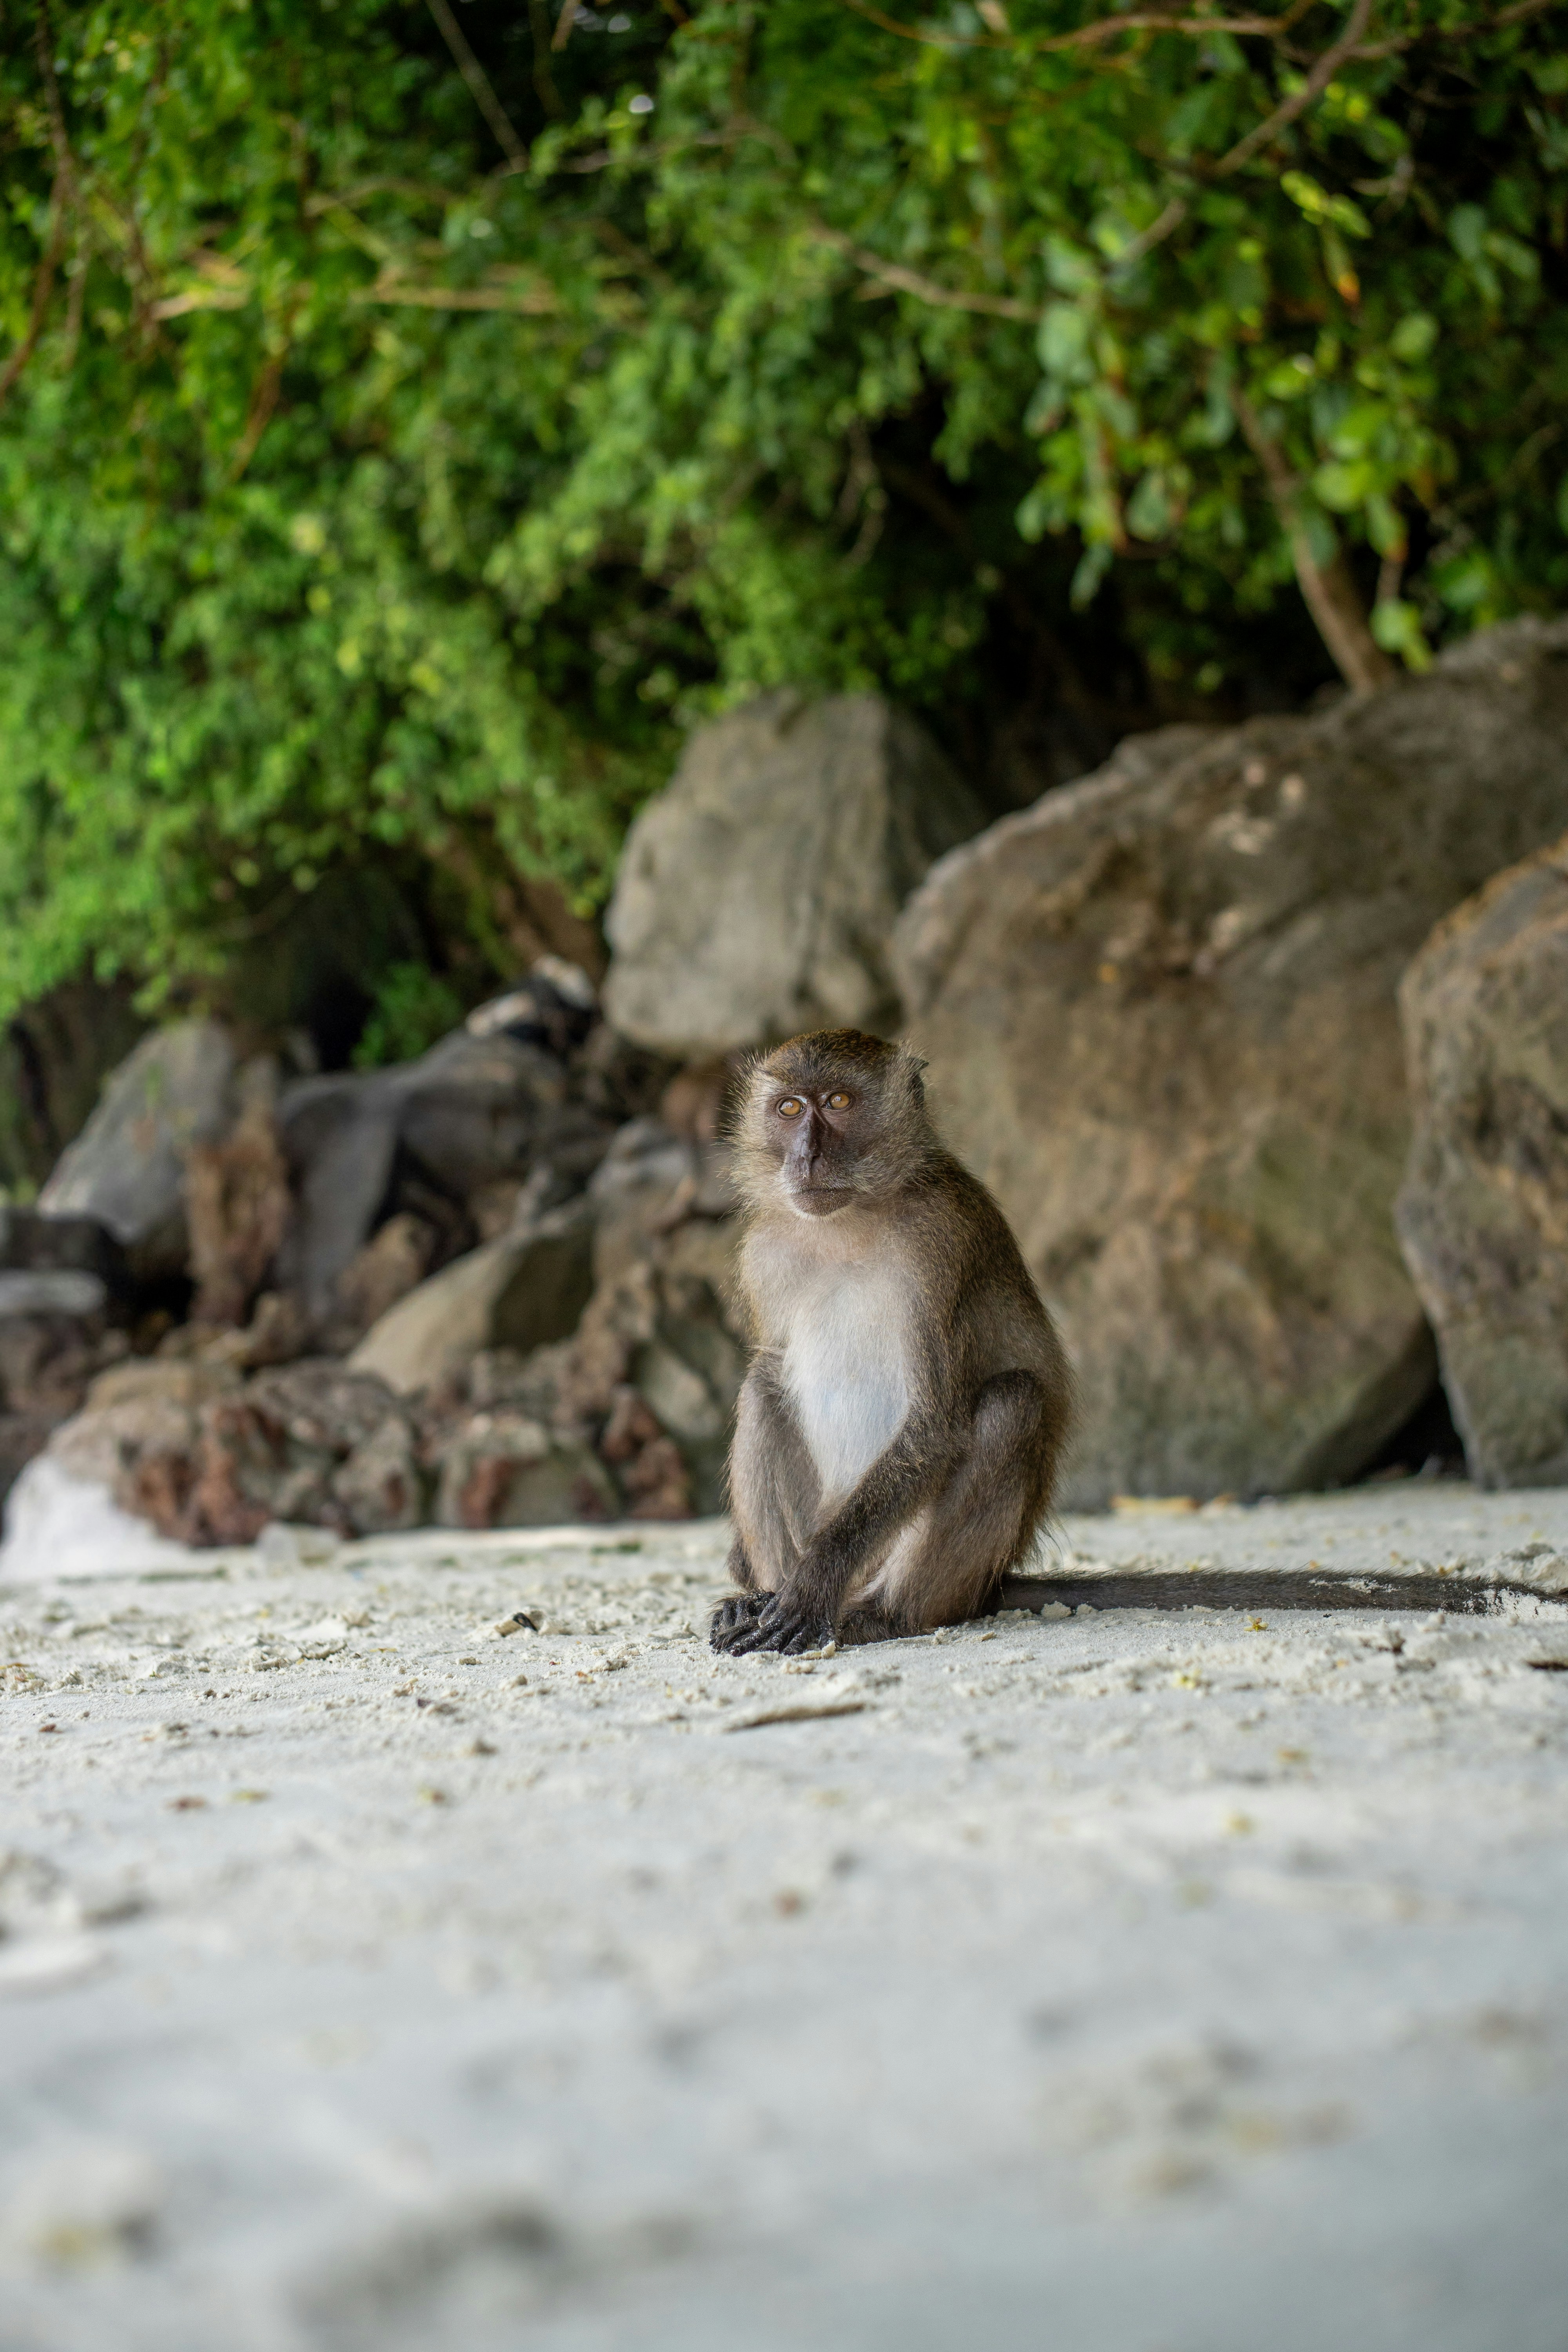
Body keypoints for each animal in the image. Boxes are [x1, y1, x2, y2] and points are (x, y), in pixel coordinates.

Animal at [710, 1028, 1072, 1656]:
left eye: (838, 1103)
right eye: (789, 1109)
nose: (805, 1158)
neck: (847, 1225)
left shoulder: (941, 1239)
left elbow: (933, 1427)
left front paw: (812, 1588)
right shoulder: (762, 1254)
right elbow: (773, 1366)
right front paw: (758, 1584)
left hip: (927, 1571)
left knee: (1014, 1401)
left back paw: (882, 1615)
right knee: (763, 1385)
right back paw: (766, 1596)